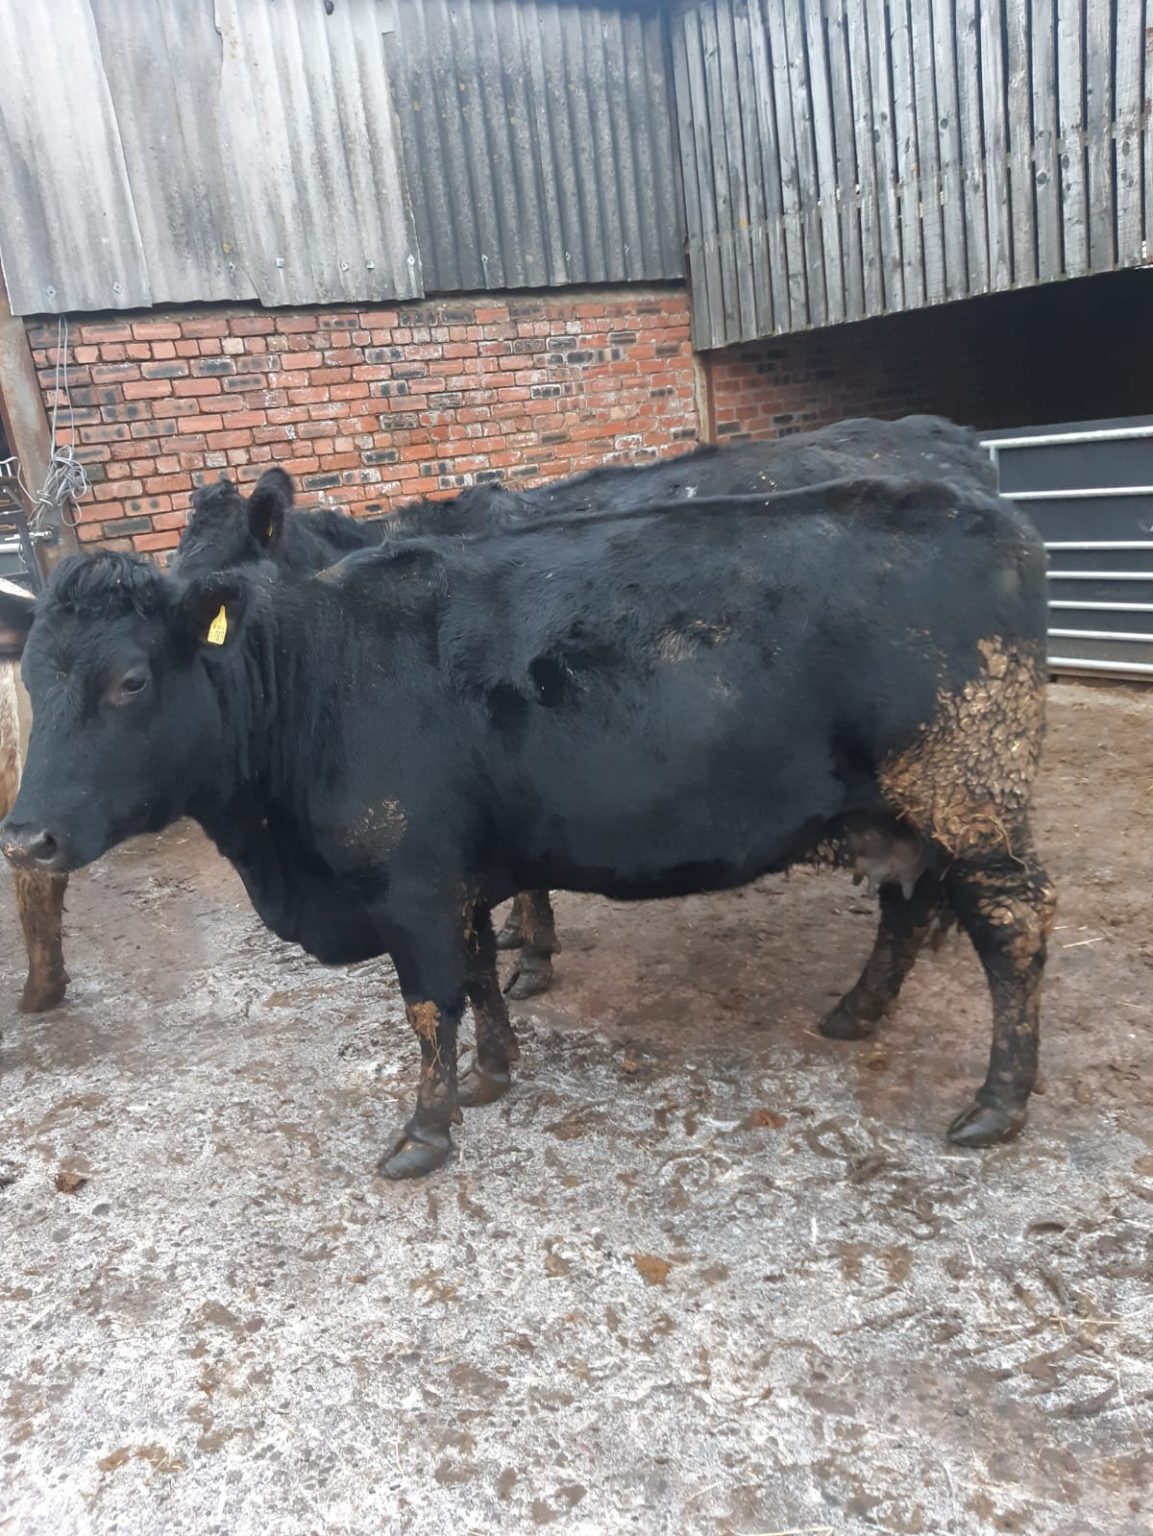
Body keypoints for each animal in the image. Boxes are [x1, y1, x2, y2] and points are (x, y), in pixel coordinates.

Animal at [0, 475, 1055, 1182]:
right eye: (33, 679)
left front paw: (423, 1133)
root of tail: (978, 507)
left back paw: (996, 1103)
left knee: (1014, 928)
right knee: (912, 901)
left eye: (130, 679)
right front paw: (491, 1073)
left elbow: (429, 1003)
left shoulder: (411, 884)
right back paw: (857, 1010)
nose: (26, 839)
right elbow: (473, 976)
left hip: (972, 797)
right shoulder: (459, 873)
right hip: (910, 810)